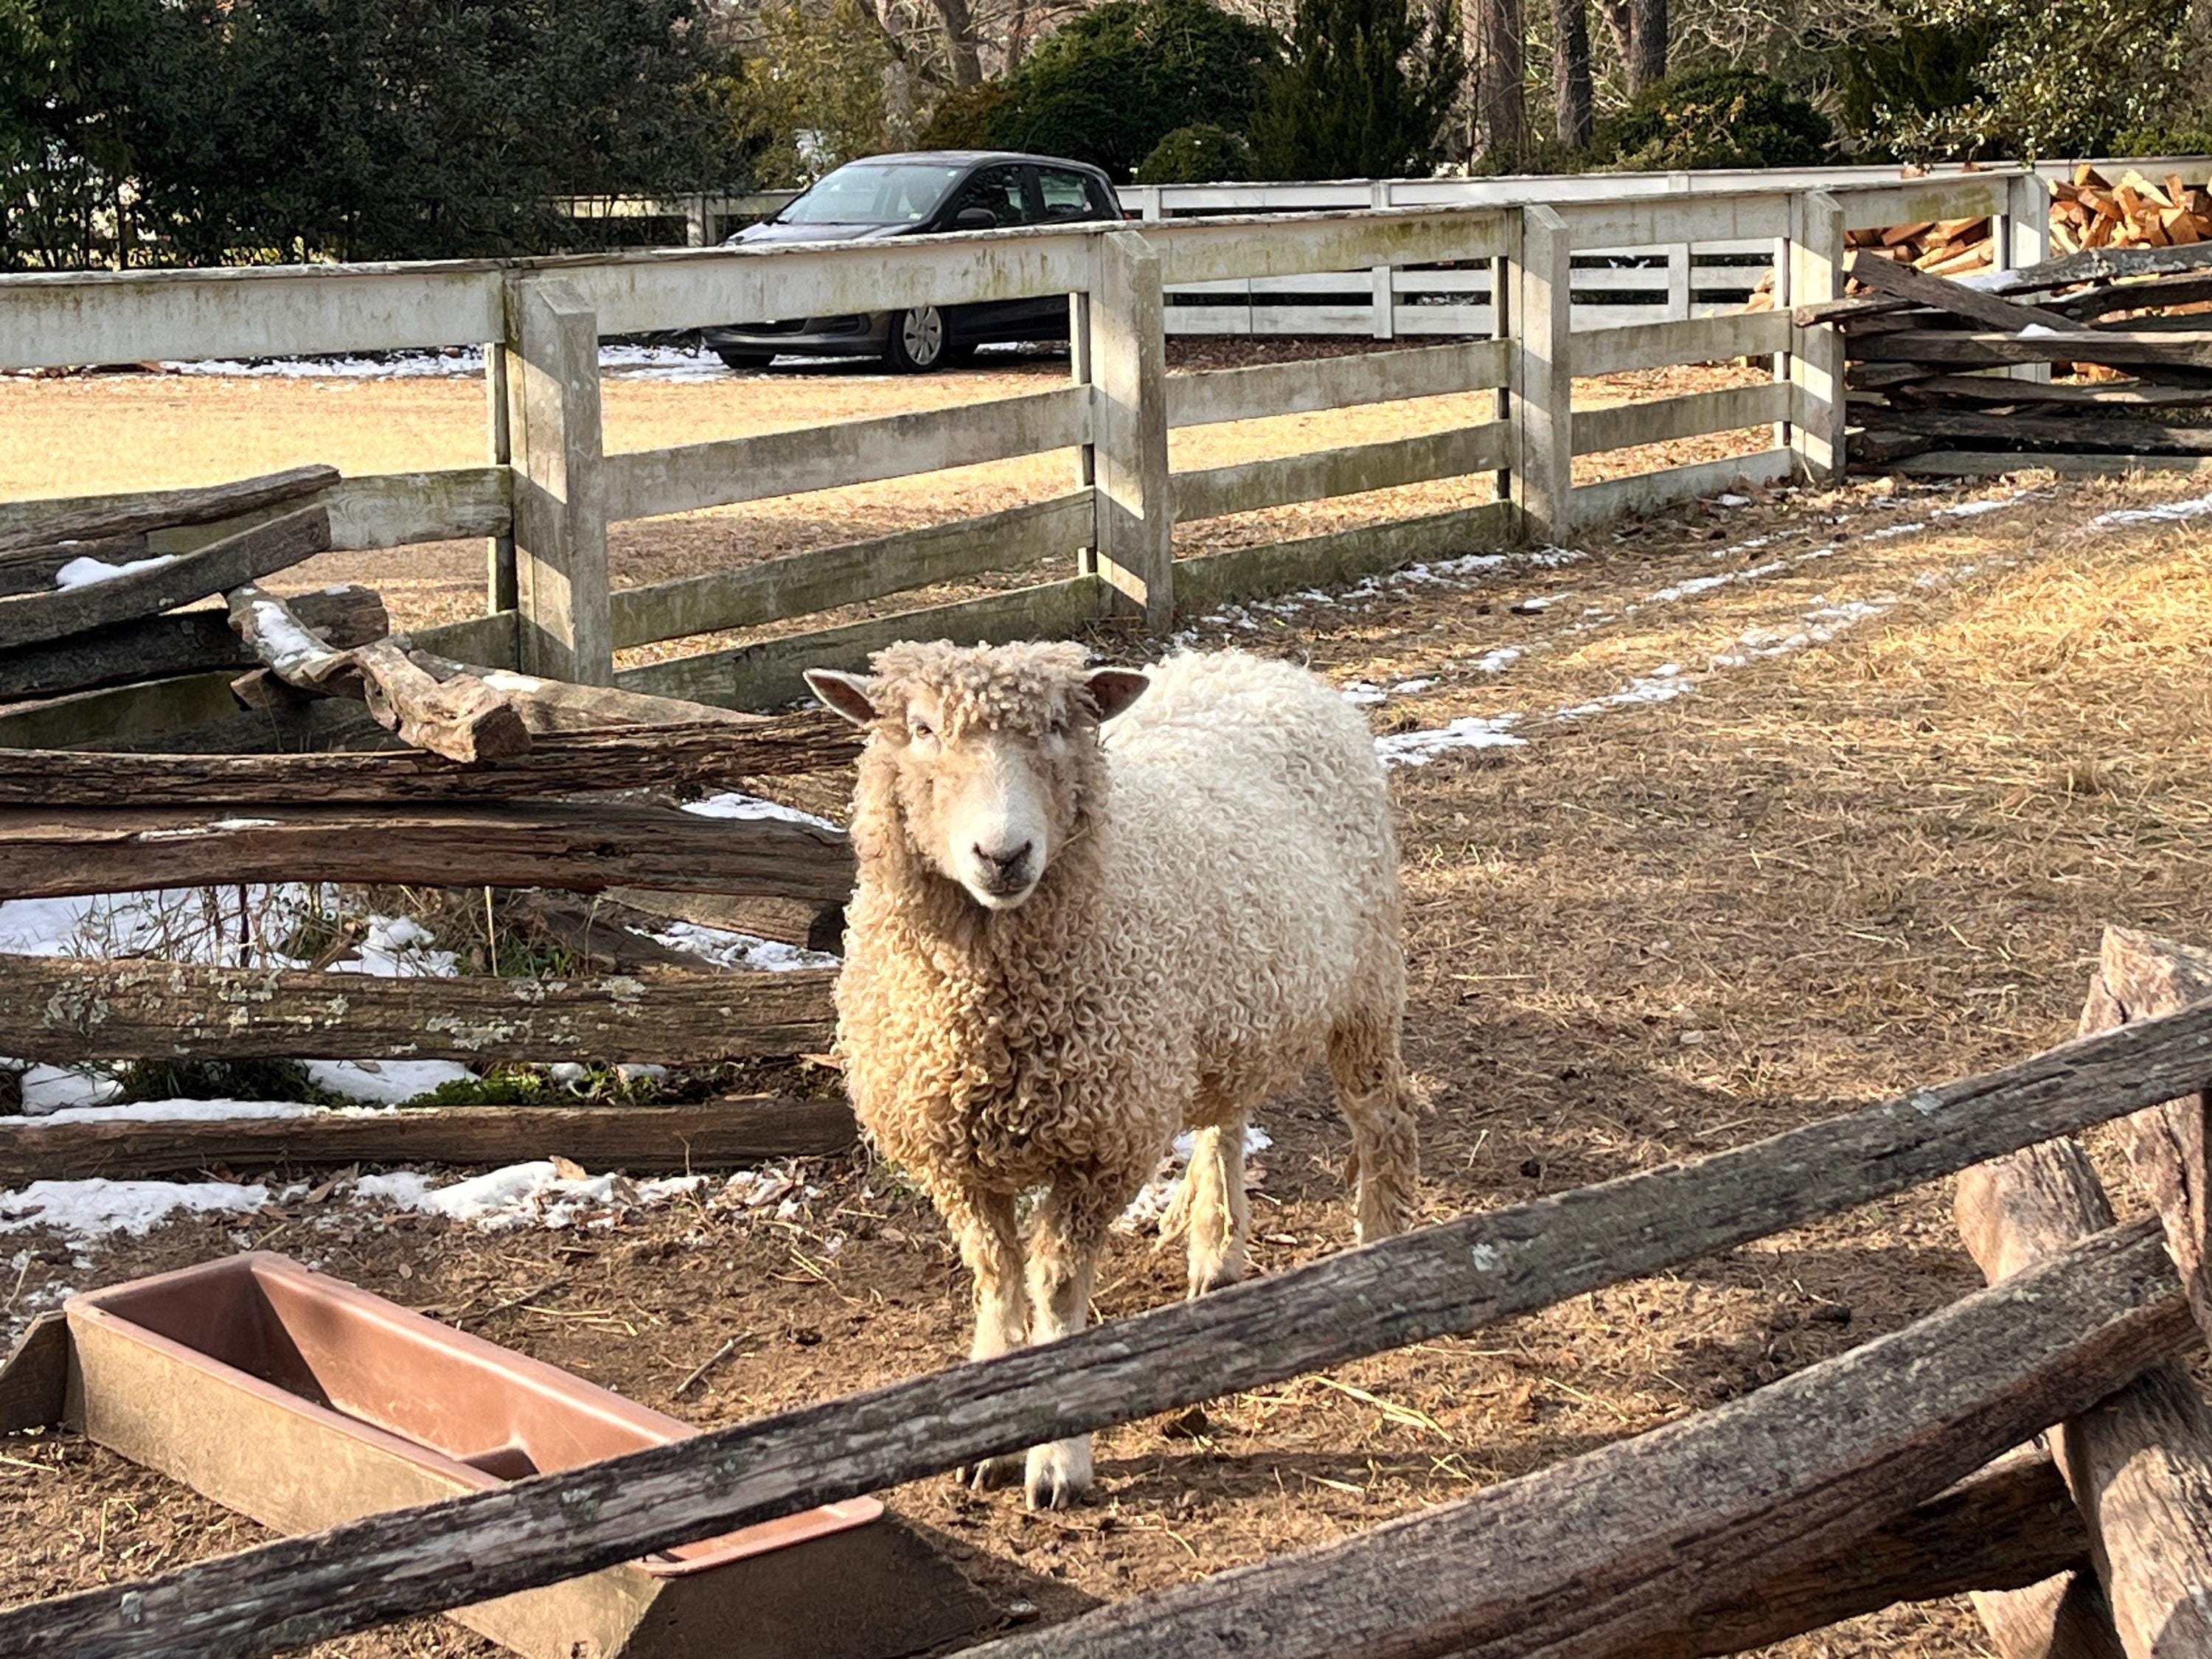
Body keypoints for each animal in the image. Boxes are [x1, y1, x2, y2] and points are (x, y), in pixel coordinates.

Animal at [804, 640, 1420, 1510]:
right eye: (920, 728)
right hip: (1218, 1016)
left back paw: (1378, 1253)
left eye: (1060, 727)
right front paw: (986, 1434)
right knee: (1224, 1121)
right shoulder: (952, 1156)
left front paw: (1058, 1459)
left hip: (1367, 981)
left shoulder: (1100, 1146)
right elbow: (998, 1281)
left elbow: (1058, 1291)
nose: (1004, 856)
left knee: (1380, 1118)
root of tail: (1255, 662)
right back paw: (1216, 1253)